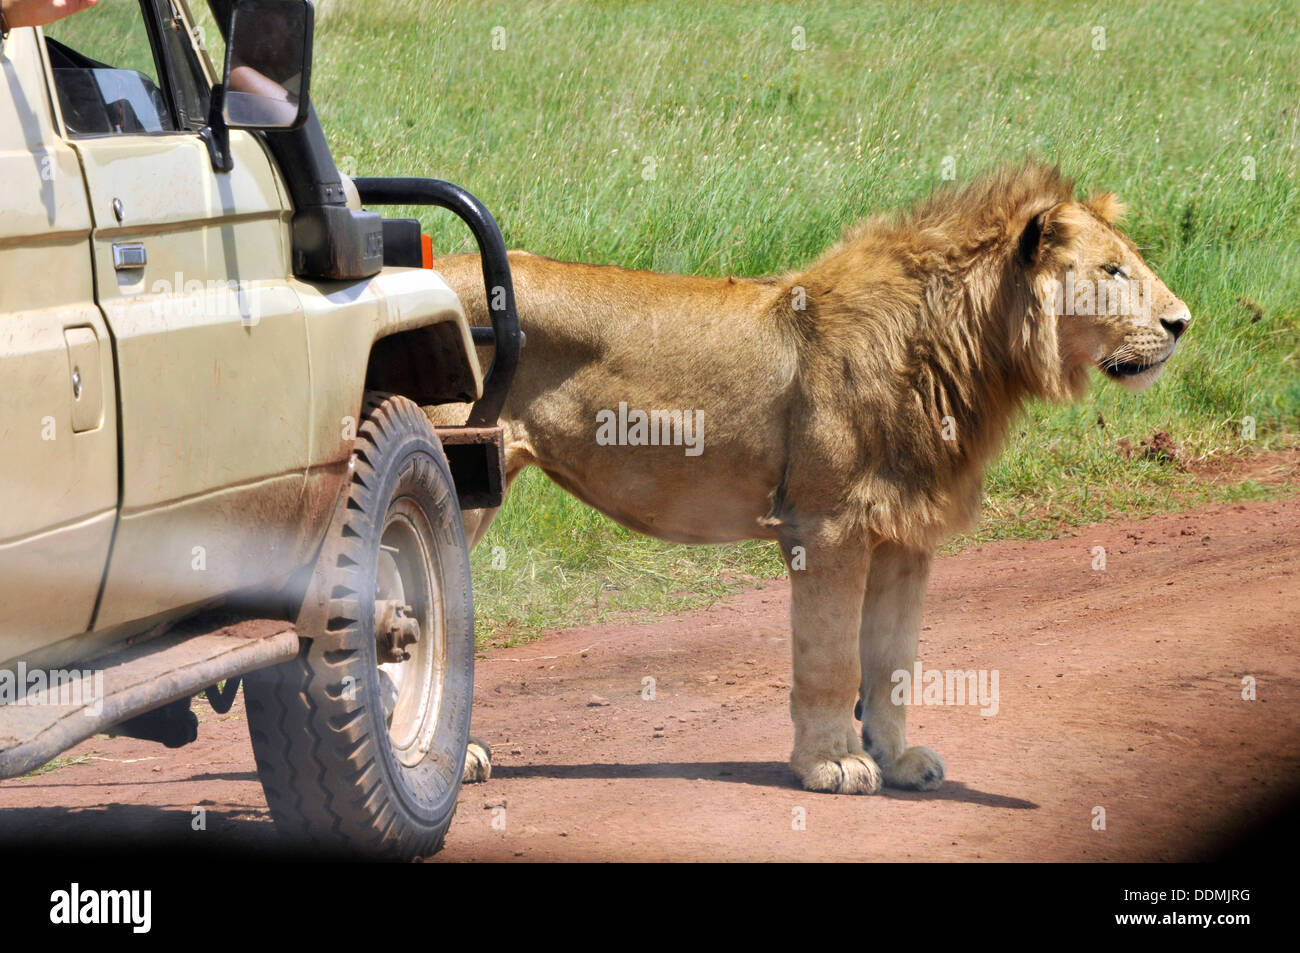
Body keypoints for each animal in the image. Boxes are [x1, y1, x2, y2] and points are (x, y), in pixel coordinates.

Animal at [430, 161, 1190, 794]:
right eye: (1113, 271)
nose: (1183, 322)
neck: (963, 347)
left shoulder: (904, 532)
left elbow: (893, 662)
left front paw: (898, 759)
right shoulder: (827, 524)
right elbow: (830, 659)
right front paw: (834, 763)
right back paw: (456, 757)